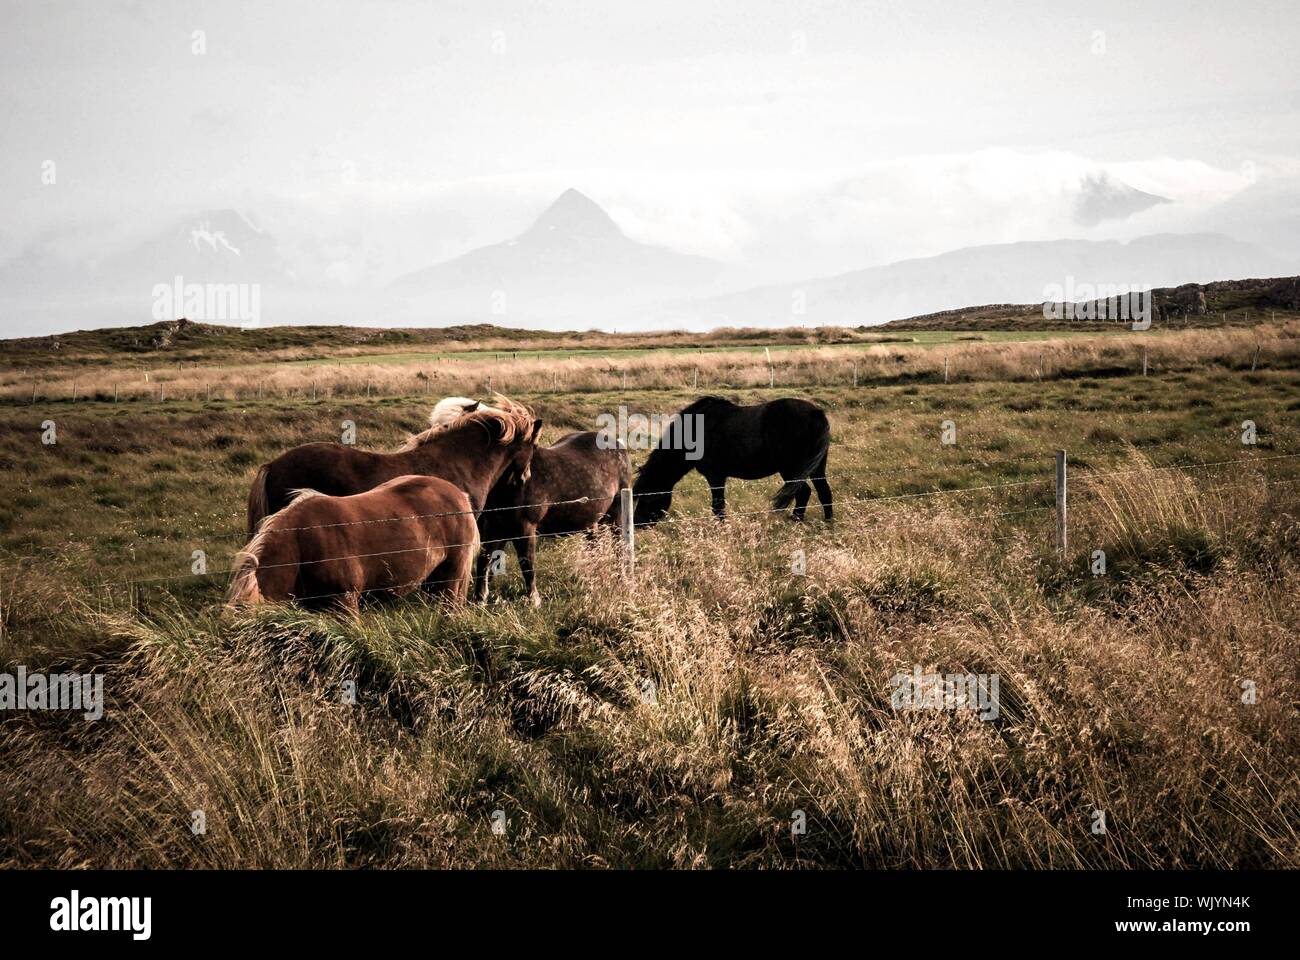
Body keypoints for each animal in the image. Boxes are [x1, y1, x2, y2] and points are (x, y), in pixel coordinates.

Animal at [474, 431, 631, 606]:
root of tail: (618, 445)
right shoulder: (494, 528)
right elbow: (486, 560)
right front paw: (480, 598)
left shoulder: (525, 528)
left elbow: (526, 563)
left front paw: (533, 599)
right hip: (592, 521)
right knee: (595, 548)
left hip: (617, 514)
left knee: (619, 548)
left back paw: (622, 580)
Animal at [632, 396, 832, 525]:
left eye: (647, 495)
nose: (637, 523)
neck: (696, 431)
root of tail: (817, 412)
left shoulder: (715, 476)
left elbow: (718, 507)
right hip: (815, 469)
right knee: (824, 493)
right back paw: (827, 523)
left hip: (792, 470)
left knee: (804, 493)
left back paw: (796, 521)